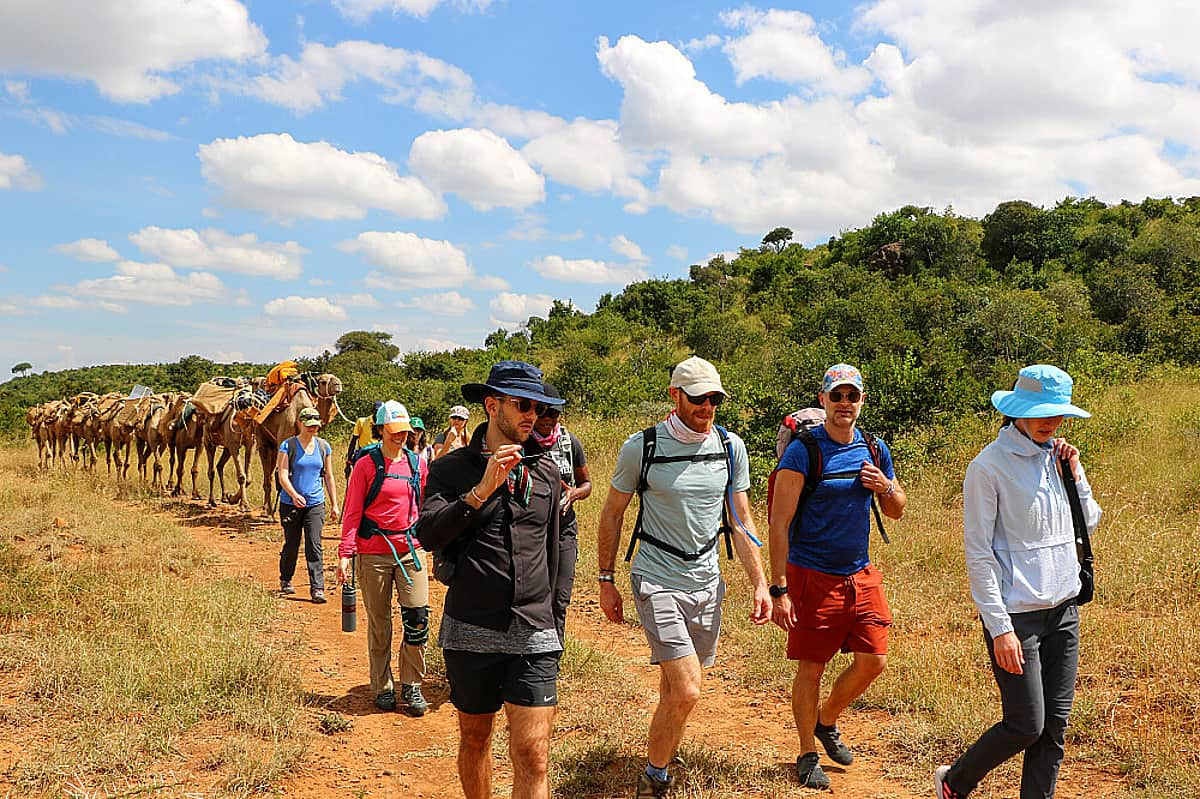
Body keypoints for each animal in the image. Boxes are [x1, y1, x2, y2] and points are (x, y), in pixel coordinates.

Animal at [253, 369, 343, 513]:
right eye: (323, 381)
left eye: (335, 377)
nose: (338, 384)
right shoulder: (284, 438)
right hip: (261, 434)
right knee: (267, 467)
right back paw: (267, 510)